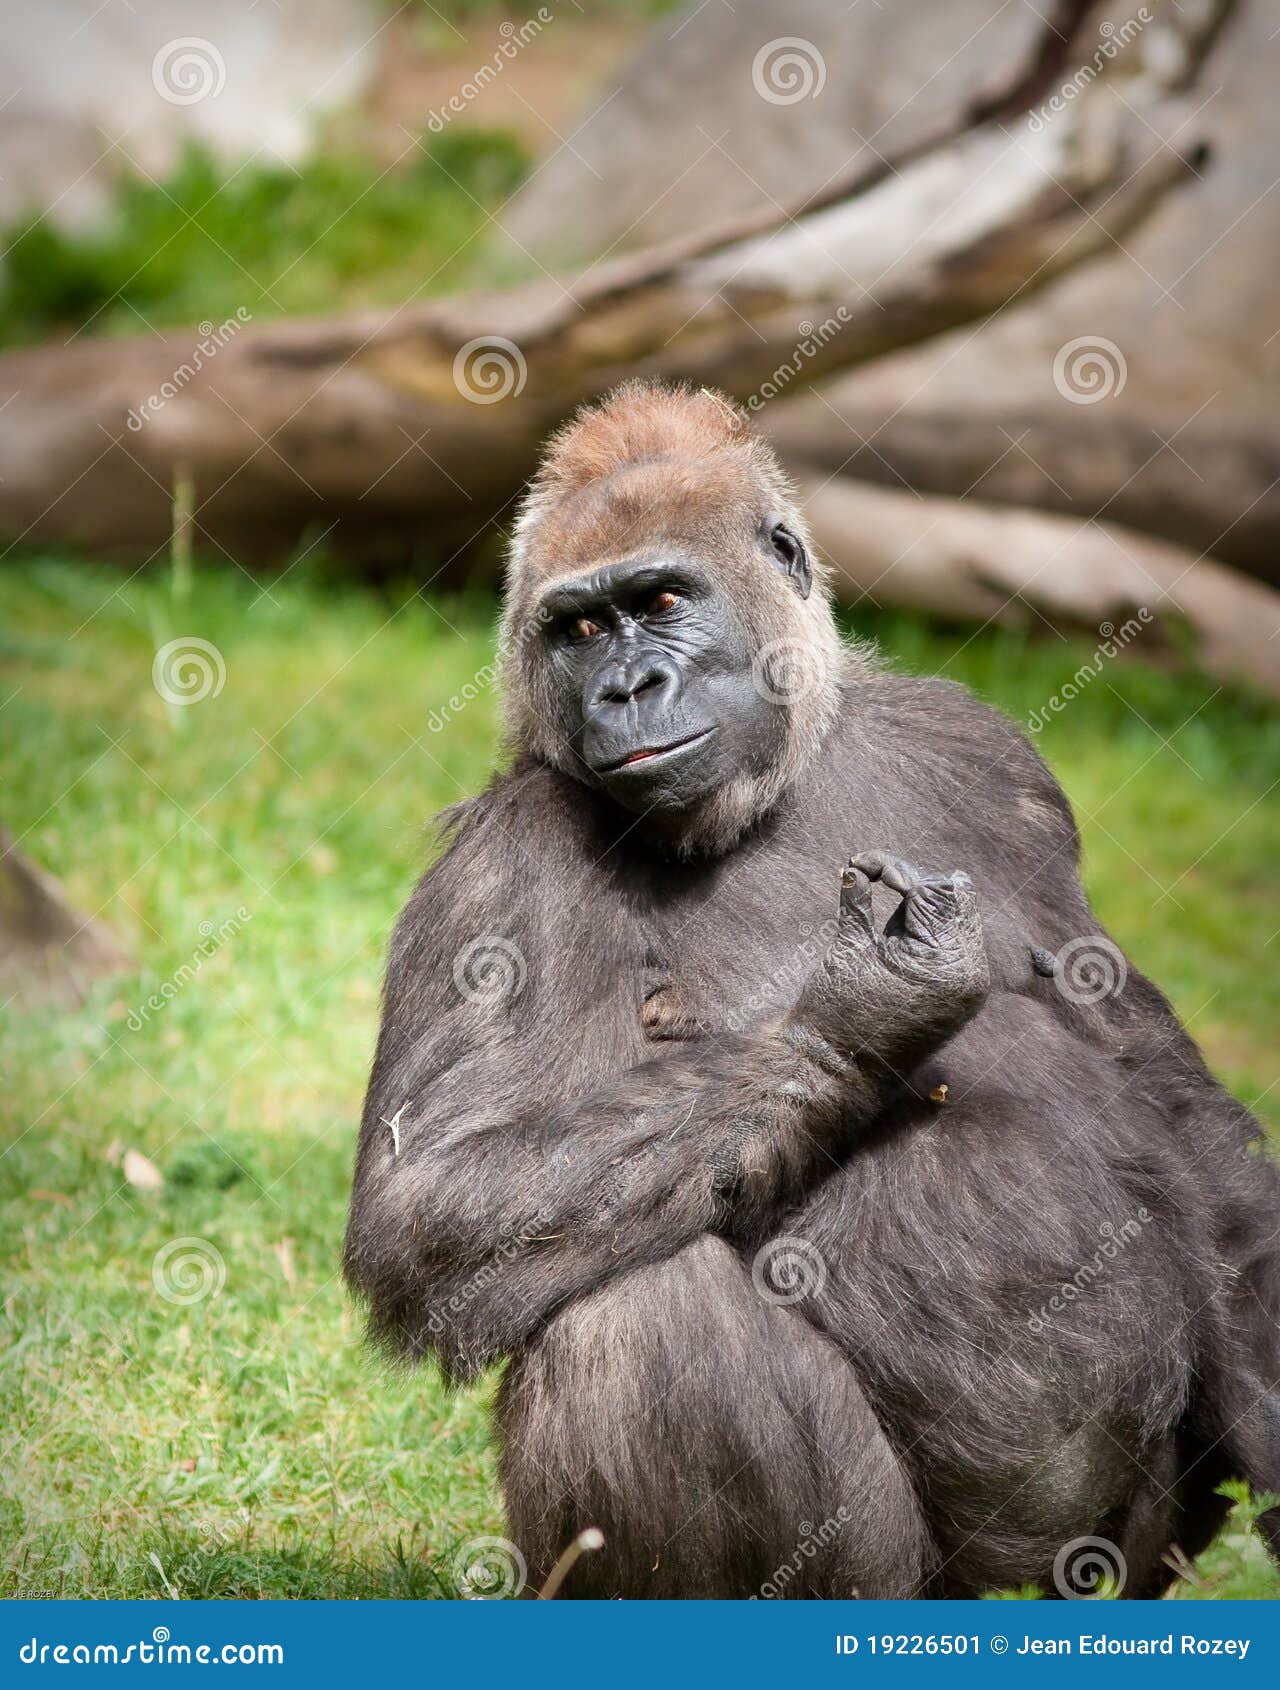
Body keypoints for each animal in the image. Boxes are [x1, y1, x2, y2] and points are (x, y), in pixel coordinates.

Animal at [344, 381, 1280, 1599]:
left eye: (659, 601)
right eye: (579, 629)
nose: (626, 687)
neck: (773, 786)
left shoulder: (995, 760)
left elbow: (1167, 1101)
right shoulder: (502, 863)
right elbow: (433, 1195)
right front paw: (861, 1017)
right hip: (905, 1584)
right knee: (634, 1315)